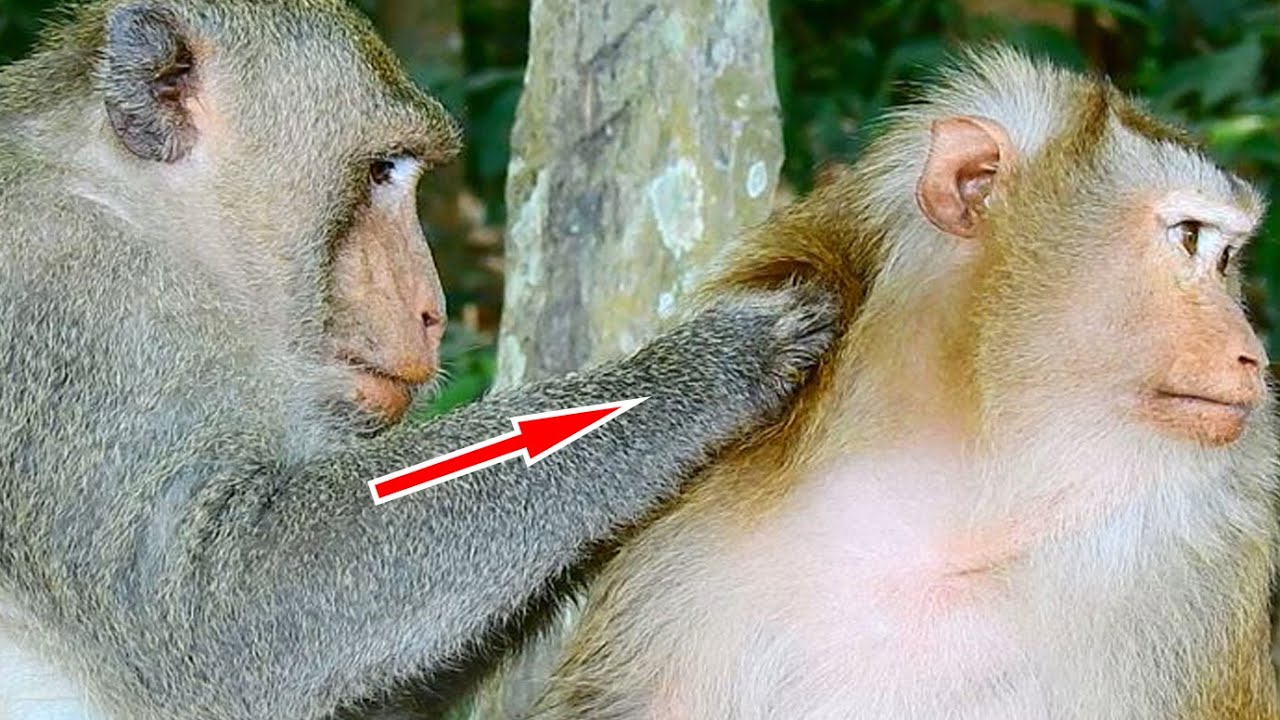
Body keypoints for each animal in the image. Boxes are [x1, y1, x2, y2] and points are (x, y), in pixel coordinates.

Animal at [0, 1, 838, 718]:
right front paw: (698, 372)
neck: (145, 219)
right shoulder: (77, 324)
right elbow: (216, 613)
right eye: (380, 171)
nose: (432, 312)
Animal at [527, 48, 1280, 720]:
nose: (1253, 356)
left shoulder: (1200, 567)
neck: (951, 502)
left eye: (1227, 258)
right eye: (1190, 238)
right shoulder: (678, 560)